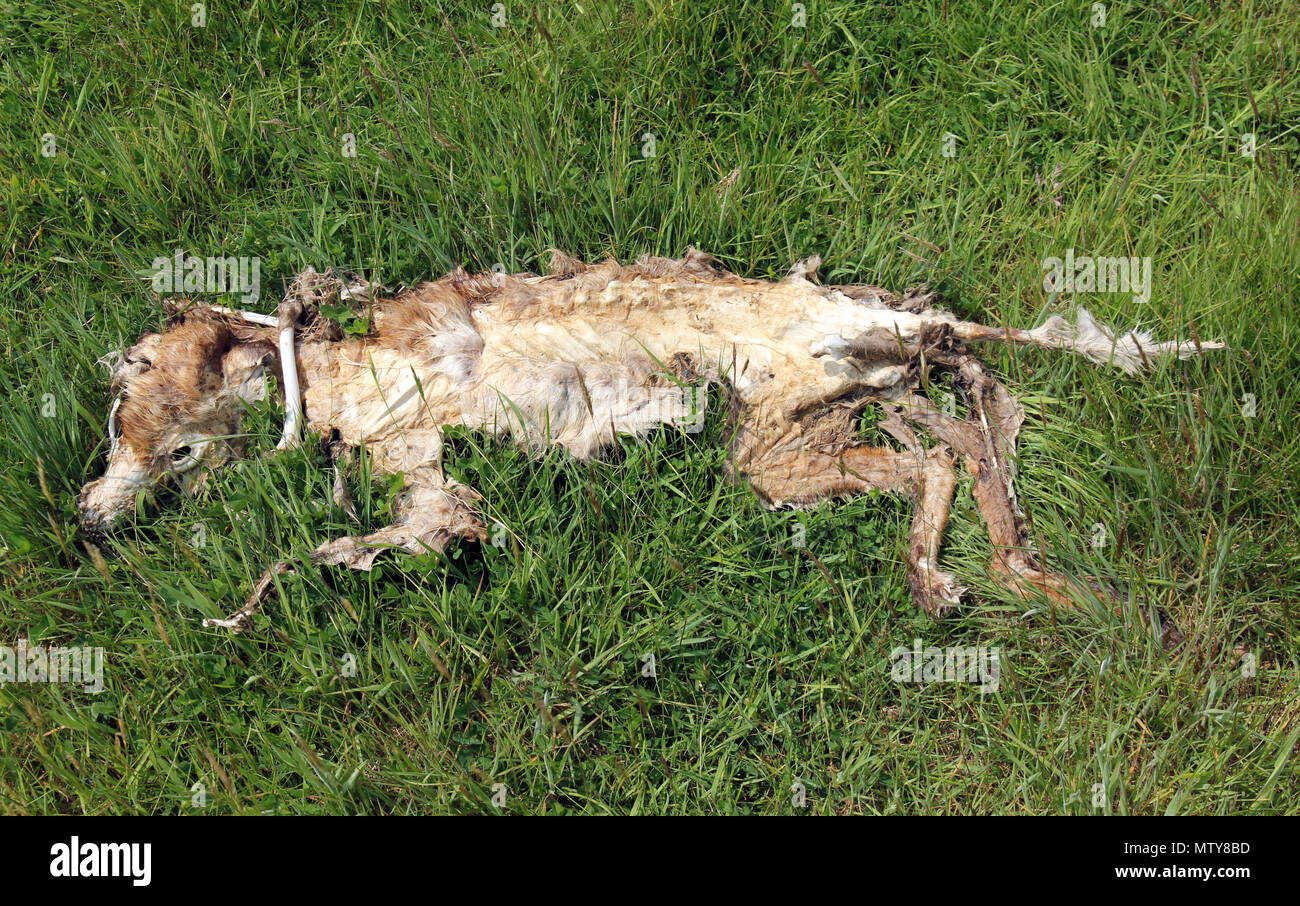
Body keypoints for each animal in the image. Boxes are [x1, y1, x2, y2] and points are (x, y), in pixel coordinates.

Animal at [77, 249, 1221, 642]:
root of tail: (880, 321)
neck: (334, 381)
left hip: (780, 442)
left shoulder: (419, 456)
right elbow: (402, 530)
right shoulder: (424, 478)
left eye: (170, 450)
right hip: (841, 410)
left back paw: (937, 583)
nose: (84, 520)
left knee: (941, 457)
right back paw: (1073, 595)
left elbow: (353, 545)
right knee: (976, 449)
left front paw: (232, 609)